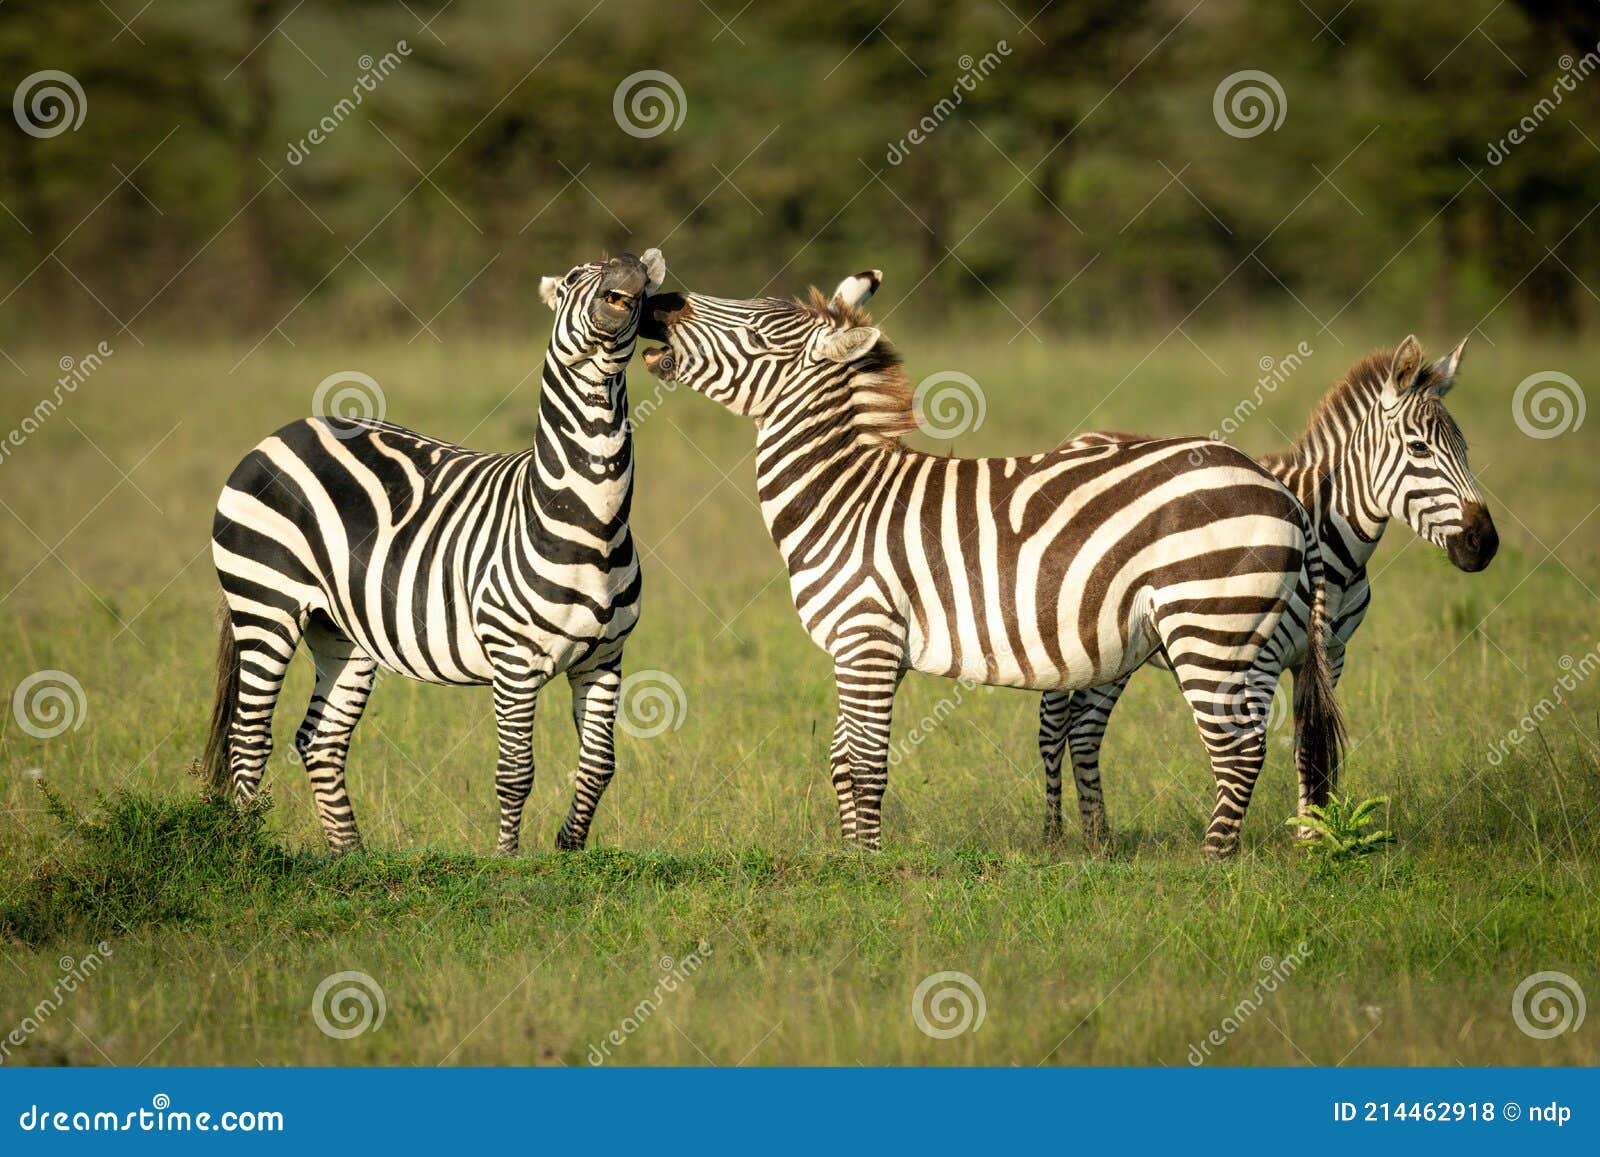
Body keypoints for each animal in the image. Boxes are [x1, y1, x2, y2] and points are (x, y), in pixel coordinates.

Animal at [202, 249, 666, 854]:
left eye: (642, 276)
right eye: (572, 279)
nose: (626, 266)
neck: (593, 520)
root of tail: (282, 433)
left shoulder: (605, 659)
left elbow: (598, 767)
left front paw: (569, 852)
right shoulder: (513, 660)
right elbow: (515, 772)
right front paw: (509, 860)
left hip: (340, 630)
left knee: (319, 741)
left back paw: (352, 858)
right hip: (265, 603)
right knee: (249, 739)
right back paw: (248, 850)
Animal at [639, 270, 1343, 855]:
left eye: (758, 330)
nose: (661, 301)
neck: (844, 494)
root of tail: (1277, 487)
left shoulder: (865, 636)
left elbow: (865, 759)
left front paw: (867, 866)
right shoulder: (866, 647)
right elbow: (842, 757)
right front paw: (846, 856)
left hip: (1208, 622)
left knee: (1237, 747)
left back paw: (1211, 862)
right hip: (1248, 637)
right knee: (1268, 742)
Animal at [1037, 337, 1497, 845]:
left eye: (1465, 448)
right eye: (1418, 448)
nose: (1485, 544)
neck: (1330, 543)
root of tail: (1082, 437)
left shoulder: (1329, 656)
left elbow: (1308, 745)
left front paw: (1313, 840)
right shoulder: (1258, 660)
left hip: (1117, 649)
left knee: (1084, 729)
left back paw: (1098, 840)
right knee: (1054, 727)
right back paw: (1054, 836)